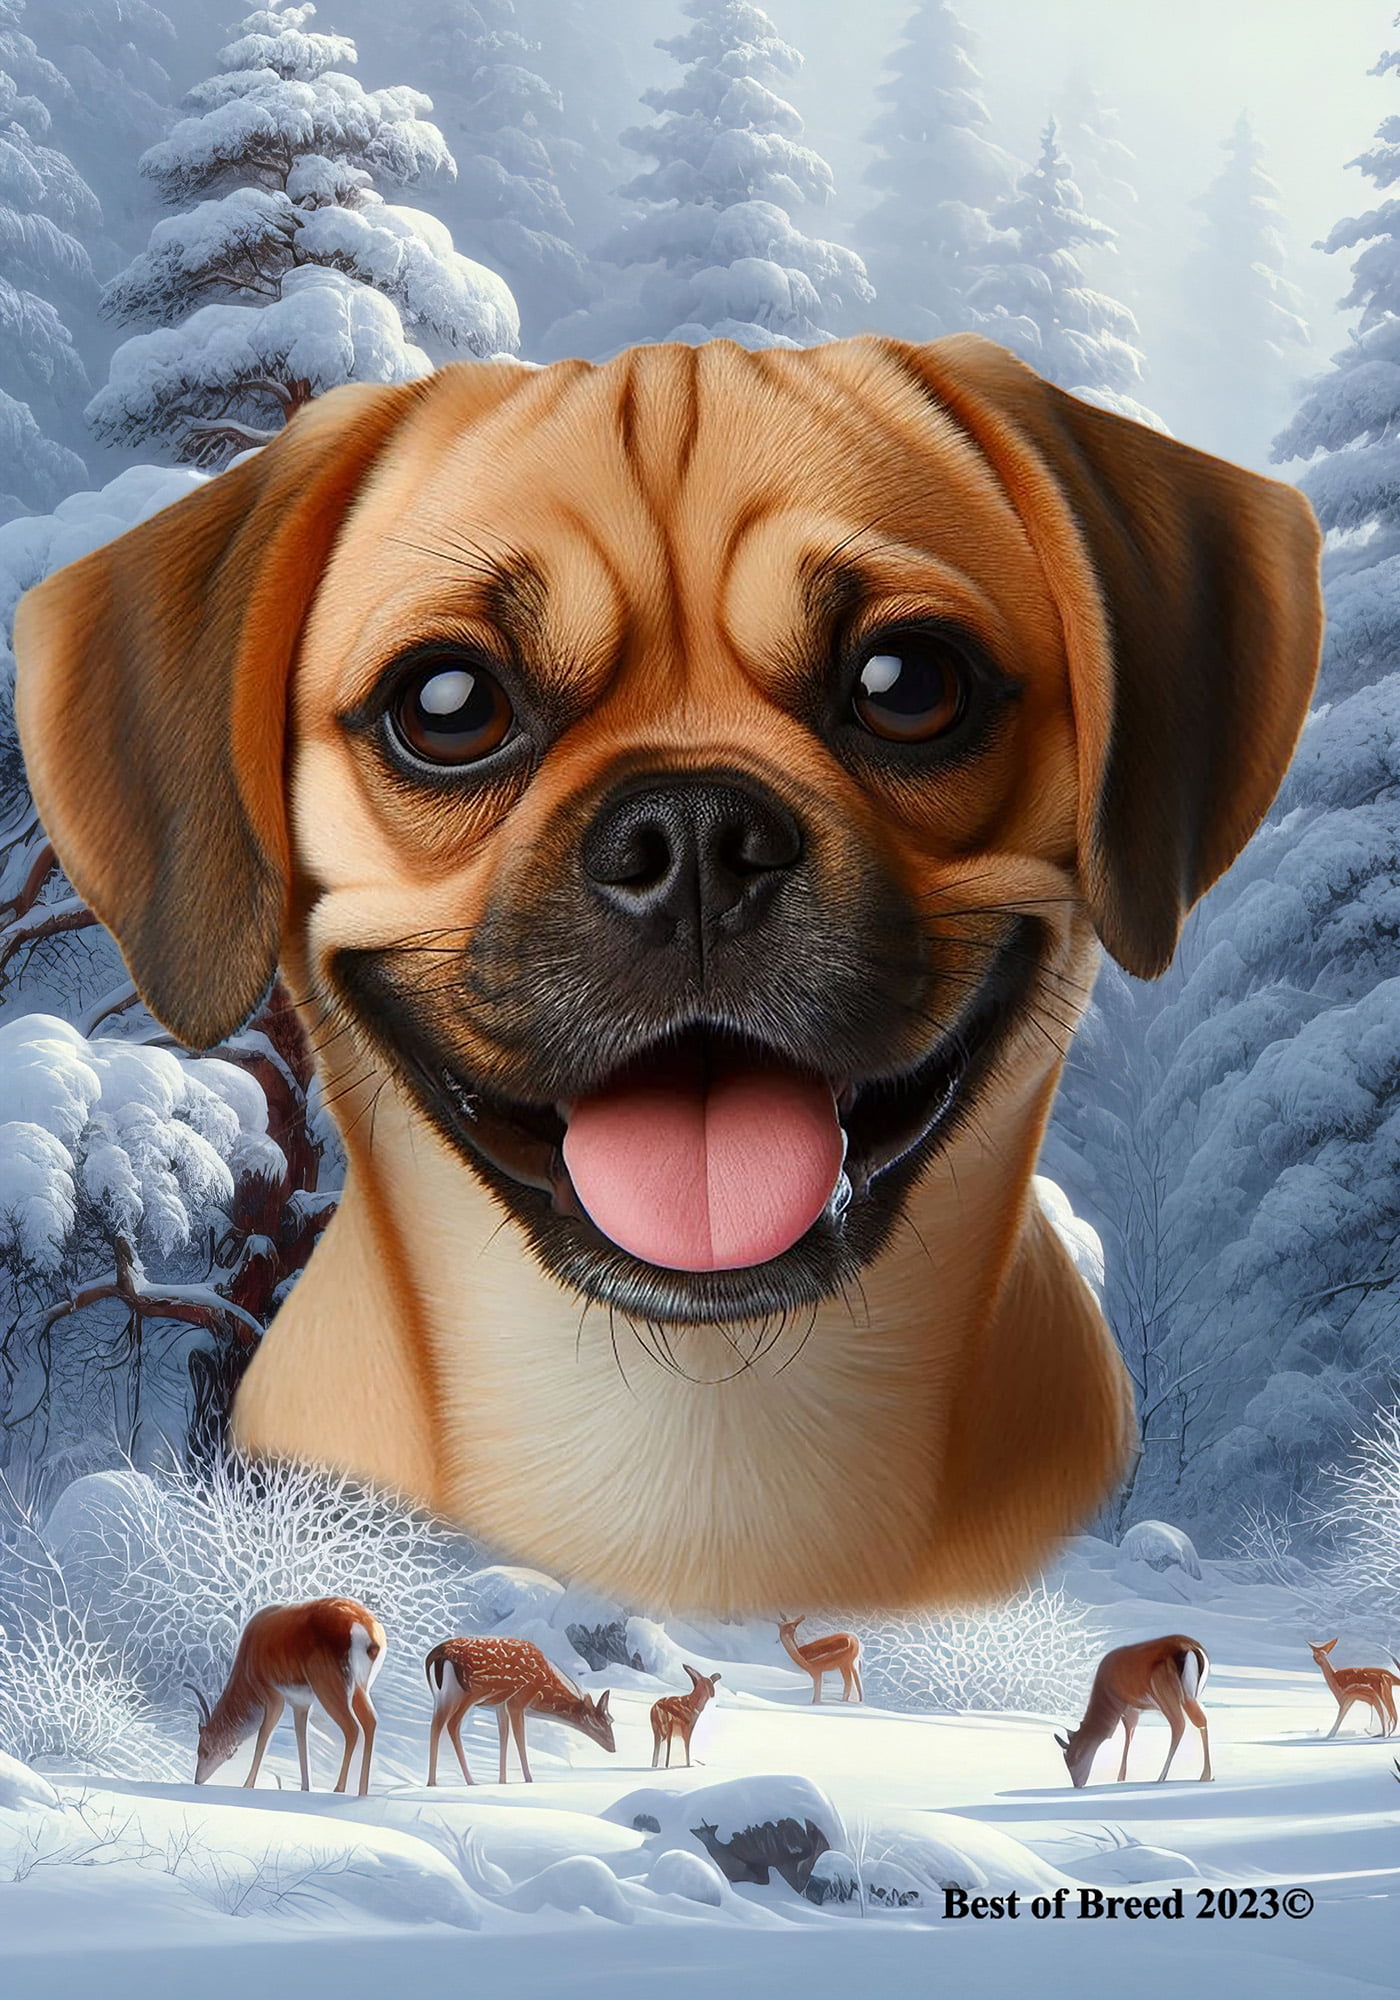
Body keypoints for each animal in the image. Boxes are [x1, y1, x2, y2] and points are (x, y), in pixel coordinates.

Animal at [190, 1597, 386, 1796]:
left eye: (203, 1750)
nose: (197, 1780)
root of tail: (362, 1625)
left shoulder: (273, 1698)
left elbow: (264, 1737)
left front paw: (247, 1785)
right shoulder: (301, 1704)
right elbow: (301, 1737)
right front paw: (305, 1787)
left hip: (330, 1690)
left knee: (352, 1728)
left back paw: (338, 1789)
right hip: (359, 1689)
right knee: (370, 1722)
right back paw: (362, 1792)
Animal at [424, 1636, 615, 1786]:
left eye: (610, 1720)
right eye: (599, 1723)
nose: (613, 1747)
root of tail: (435, 1656)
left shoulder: (501, 1703)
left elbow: (504, 1734)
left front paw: (502, 1780)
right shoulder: (518, 1699)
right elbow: (519, 1737)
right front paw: (528, 1779)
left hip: (441, 1696)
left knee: (435, 1725)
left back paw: (432, 1782)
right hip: (468, 1692)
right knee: (452, 1724)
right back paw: (470, 1780)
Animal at [1055, 1635, 1212, 1787]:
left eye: (1071, 1758)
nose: (1077, 1785)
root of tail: (1193, 1649)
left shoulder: (1123, 1706)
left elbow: (1127, 1734)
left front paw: (1119, 1778)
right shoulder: (1134, 1708)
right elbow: (1130, 1735)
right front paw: (1121, 1778)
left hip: (1165, 1692)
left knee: (1179, 1724)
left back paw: (1161, 1777)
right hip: (1190, 1695)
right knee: (1201, 1719)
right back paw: (1206, 1776)